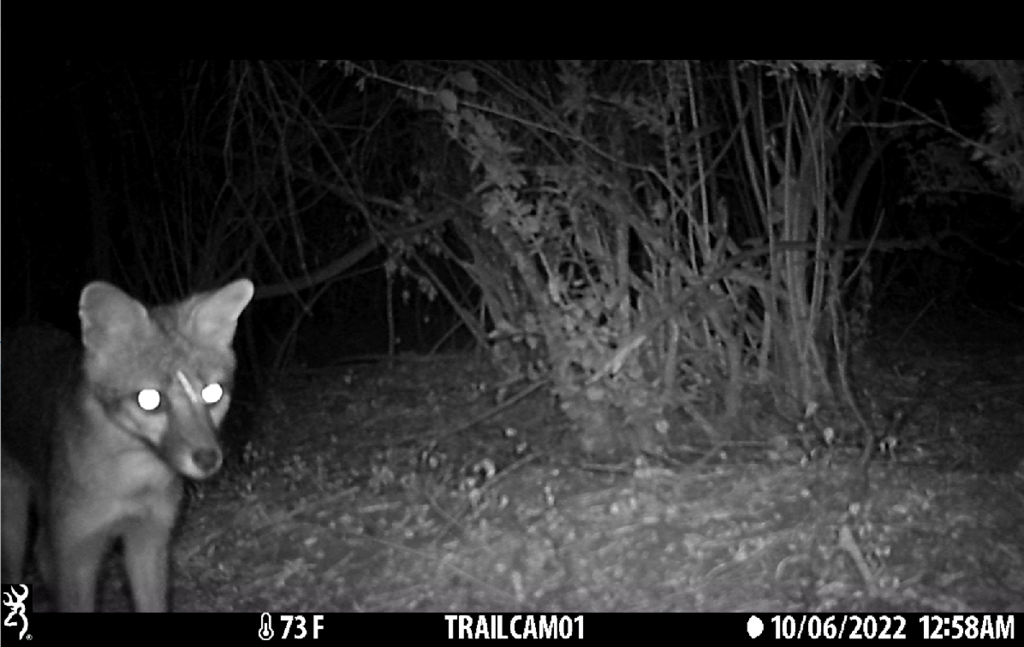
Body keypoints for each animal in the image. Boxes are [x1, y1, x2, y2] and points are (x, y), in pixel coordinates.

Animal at [1, 278, 254, 612]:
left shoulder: (149, 541)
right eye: (149, 400)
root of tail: (18, 330)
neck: (131, 487)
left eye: (212, 393)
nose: (207, 458)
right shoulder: (77, 552)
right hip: (14, 525)